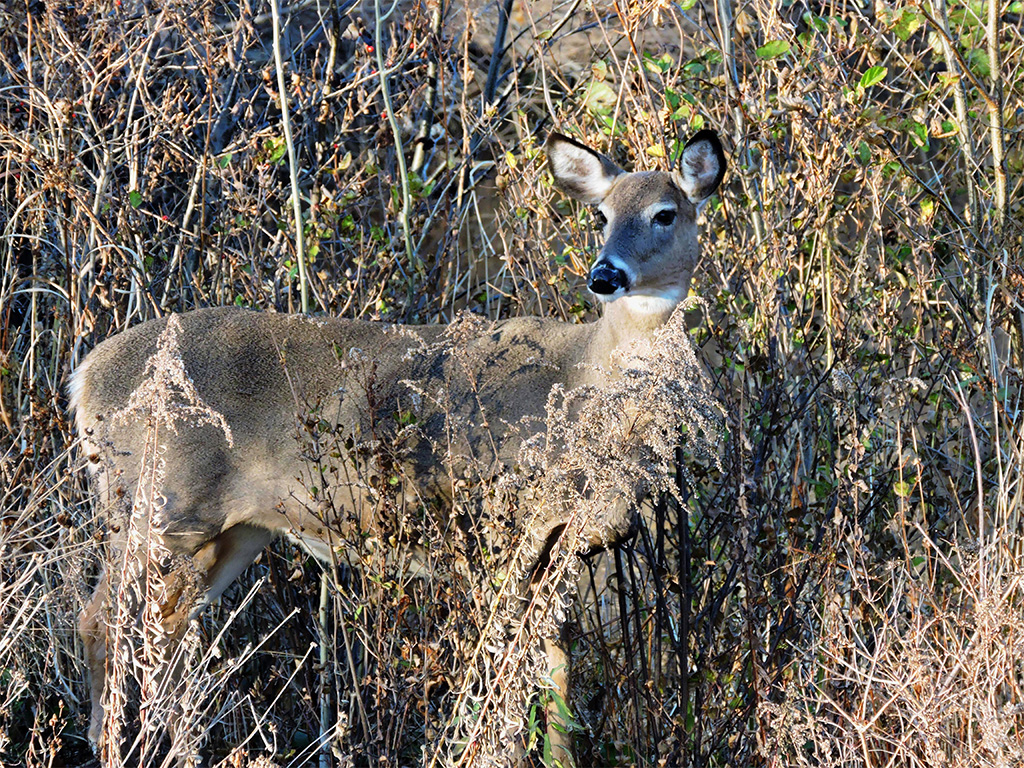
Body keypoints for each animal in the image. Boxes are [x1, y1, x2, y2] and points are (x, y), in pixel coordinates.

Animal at [71, 128, 725, 764]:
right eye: (602, 215)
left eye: (665, 214)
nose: (604, 275)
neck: (586, 381)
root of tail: (85, 378)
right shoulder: (506, 526)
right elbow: (512, 670)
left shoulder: (568, 545)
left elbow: (556, 673)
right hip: (156, 505)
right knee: (102, 625)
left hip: (235, 528)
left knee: (164, 634)